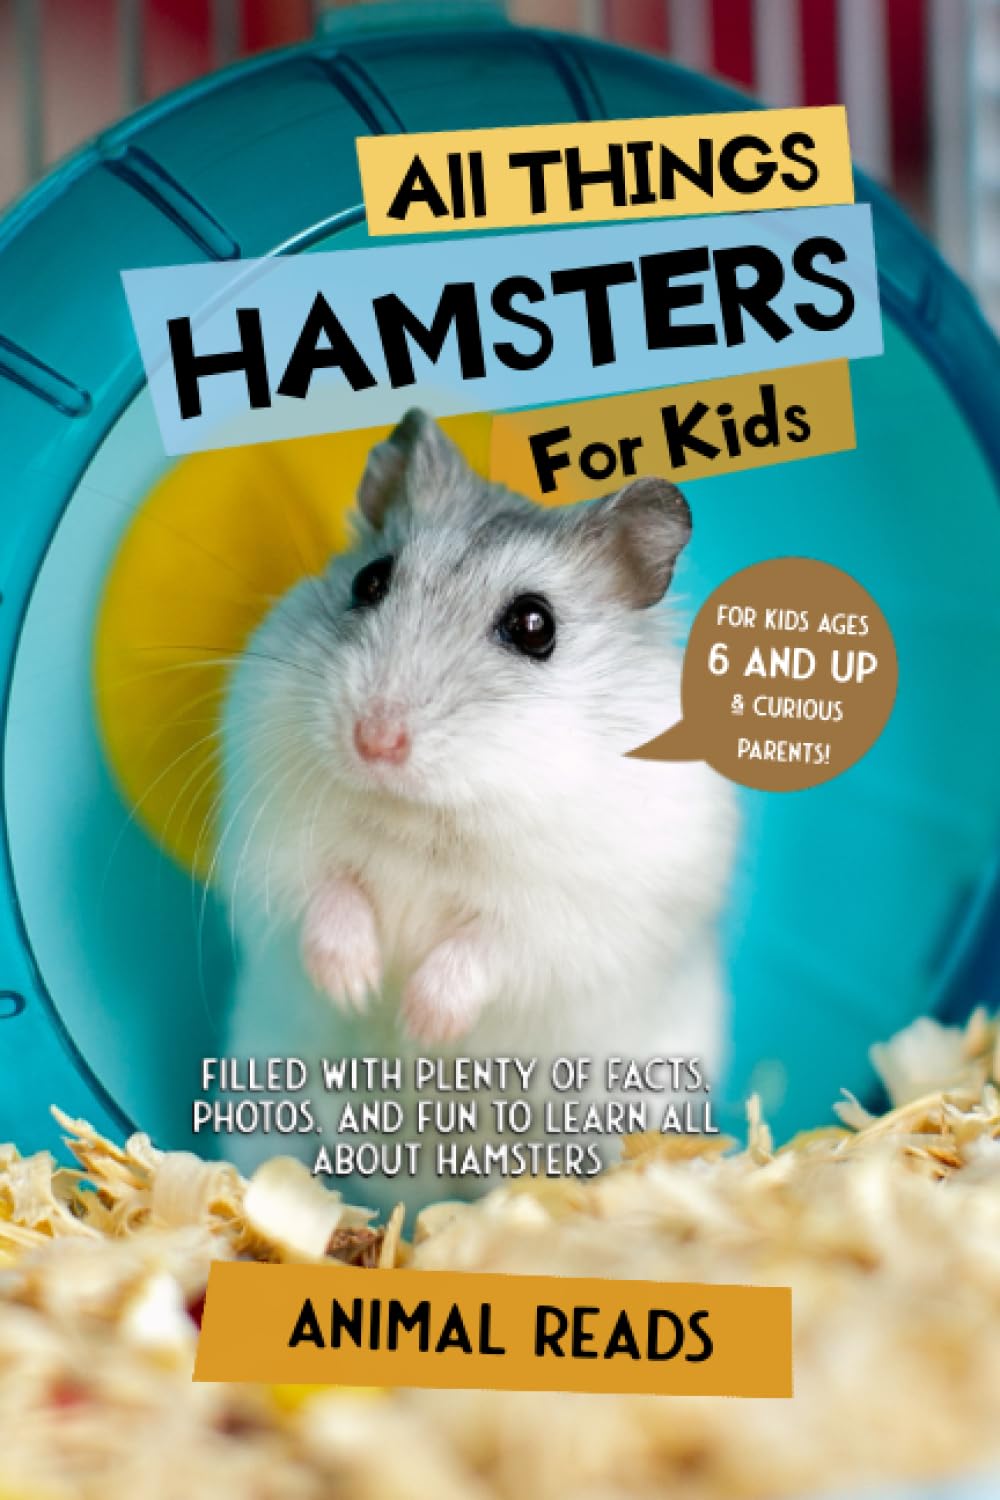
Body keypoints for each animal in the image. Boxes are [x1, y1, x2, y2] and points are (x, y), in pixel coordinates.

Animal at [218, 410, 737, 1211]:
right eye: (370, 580)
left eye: (534, 625)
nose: (374, 740)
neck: (425, 817)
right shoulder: (274, 843)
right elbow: (328, 895)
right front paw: (359, 986)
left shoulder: (572, 916)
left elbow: (489, 947)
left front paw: (420, 1024)